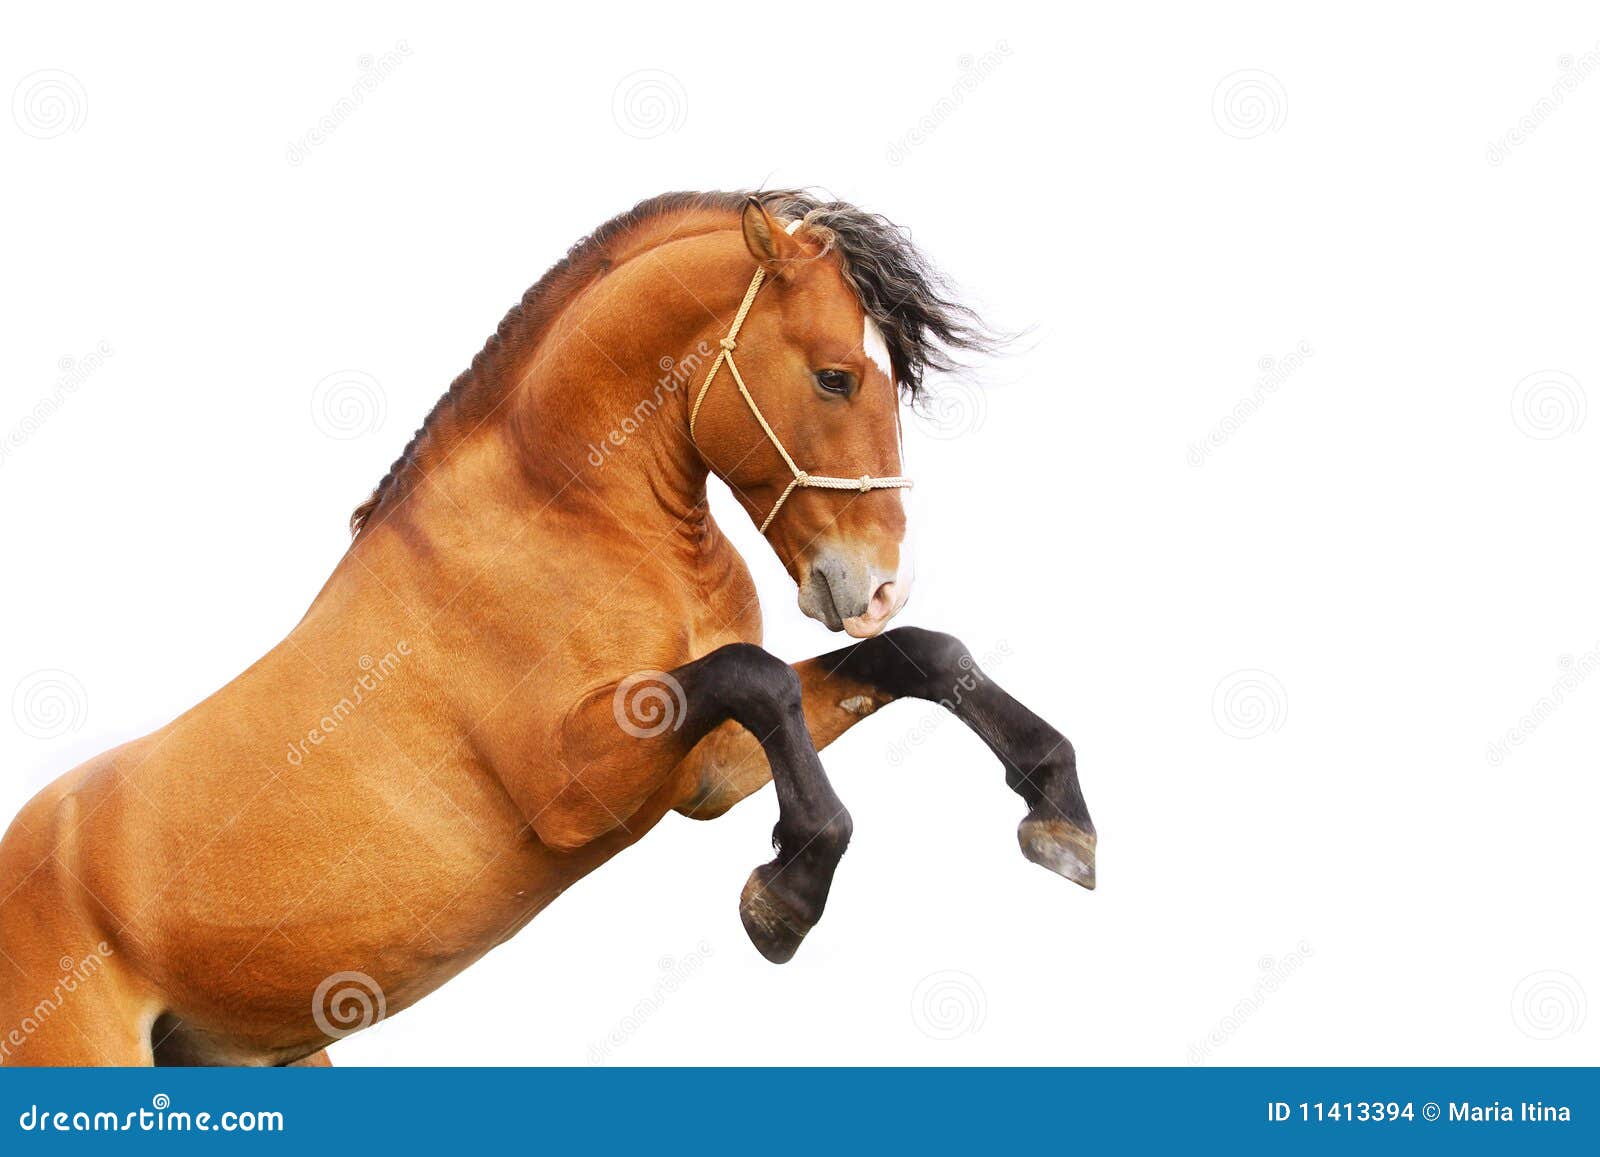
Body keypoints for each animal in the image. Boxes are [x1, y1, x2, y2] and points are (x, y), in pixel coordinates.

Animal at [0, 191, 1095, 1065]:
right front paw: (785, 897)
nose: (873, 587)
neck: (571, 519)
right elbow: (758, 673)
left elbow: (917, 659)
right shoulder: (579, 786)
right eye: (834, 376)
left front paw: (1059, 817)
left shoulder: (706, 773)